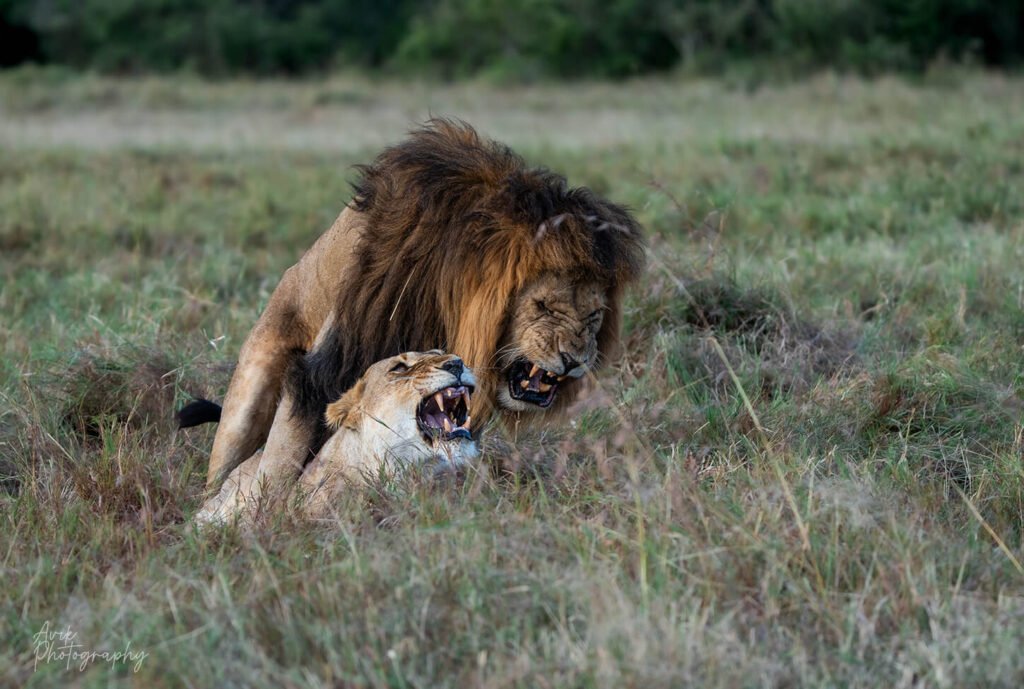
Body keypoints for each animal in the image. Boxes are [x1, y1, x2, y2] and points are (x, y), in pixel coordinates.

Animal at [198, 119, 645, 495]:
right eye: (544, 307)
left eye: (593, 316)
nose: (574, 360)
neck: (449, 294)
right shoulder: (321, 371)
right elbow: (280, 464)